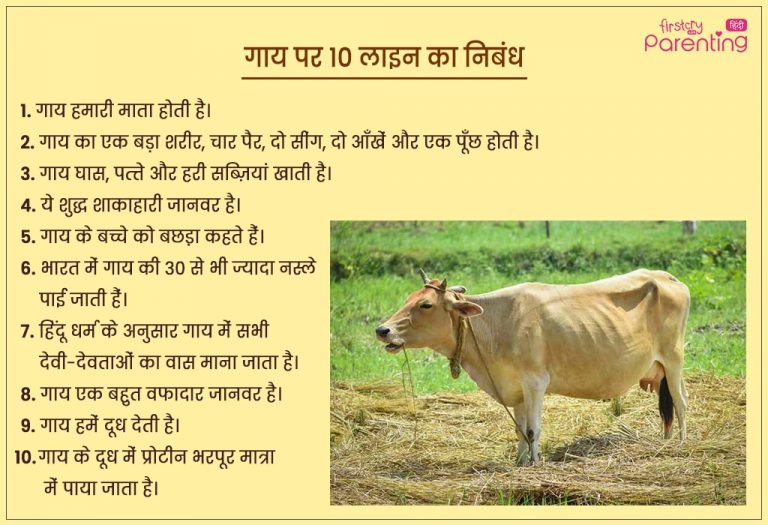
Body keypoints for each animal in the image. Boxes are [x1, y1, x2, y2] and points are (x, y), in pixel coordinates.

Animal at [375, 268, 690, 466]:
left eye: (426, 305)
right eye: (408, 299)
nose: (382, 330)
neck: (497, 324)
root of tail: (668, 277)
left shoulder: (535, 381)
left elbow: (532, 430)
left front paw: (535, 465)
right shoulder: (515, 388)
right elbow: (519, 430)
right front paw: (519, 462)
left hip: (674, 359)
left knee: (680, 403)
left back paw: (680, 445)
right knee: (669, 407)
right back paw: (664, 442)